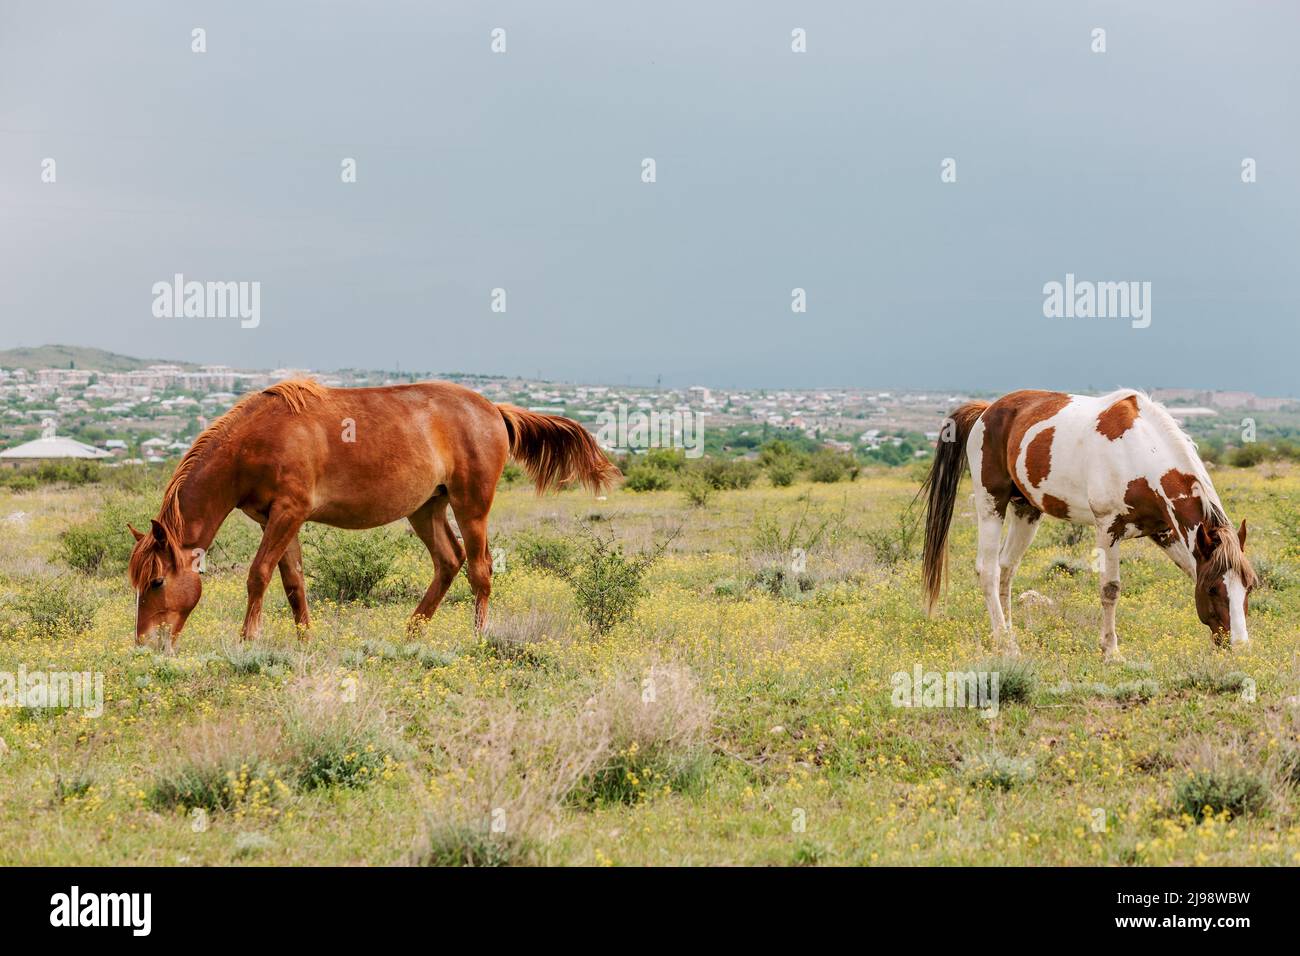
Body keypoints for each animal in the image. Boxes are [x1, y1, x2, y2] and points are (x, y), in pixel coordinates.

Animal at [127, 379, 619, 649]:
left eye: (157, 582)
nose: (146, 644)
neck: (258, 438)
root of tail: (494, 410)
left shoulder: (289, 512)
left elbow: (258, 575)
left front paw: (249, 640)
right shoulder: (279, 519)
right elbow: (293, 583)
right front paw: (305, 641)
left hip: (471, 504)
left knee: (480, 569)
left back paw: (477, 637)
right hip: (426, 508)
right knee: (449, 561)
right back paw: (412, 633)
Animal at [921, 388, 1256, 659]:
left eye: (1250, 586)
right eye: (1213, 589)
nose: (1240, 646)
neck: (1138, 450)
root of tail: (987, 410)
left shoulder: (1166, 532)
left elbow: (1190, 570)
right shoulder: (1108, 528)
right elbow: (1110, 589)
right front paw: (1110, 651)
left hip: (1026, 510)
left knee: (1007, 568)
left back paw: (1012, 635)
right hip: (991, 504)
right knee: (988, 570)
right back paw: (1005, 643)